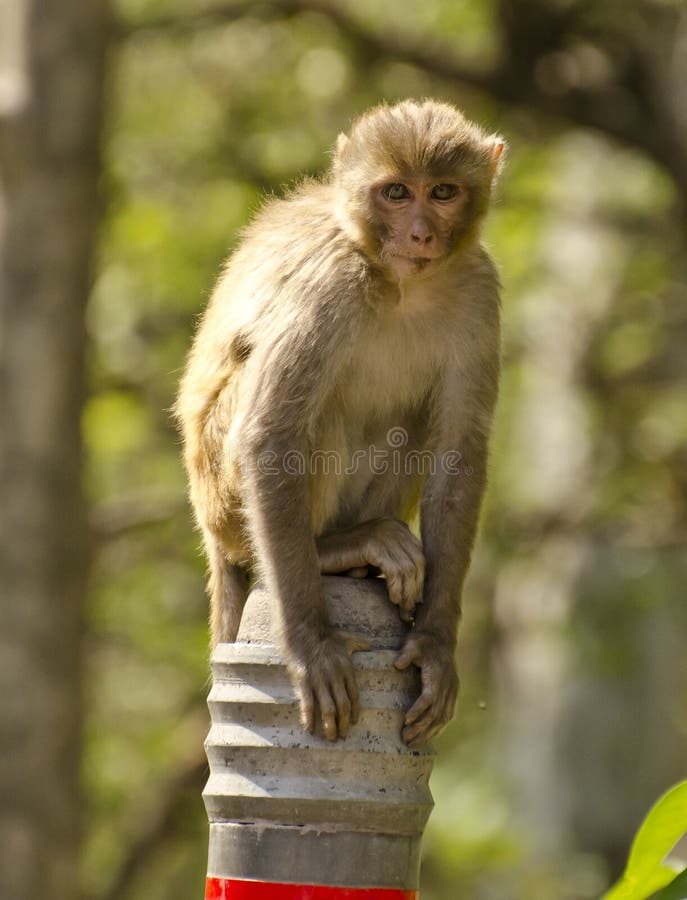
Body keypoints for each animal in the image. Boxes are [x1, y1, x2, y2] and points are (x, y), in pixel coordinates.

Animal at [175, 99, 505, 749]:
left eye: (443, 191)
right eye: (396, 192)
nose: (420, 233)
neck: (402, 282)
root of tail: (209, 531)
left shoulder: (480, 291)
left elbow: (458, 451)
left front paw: (435, 645)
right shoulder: (329, 281)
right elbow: (272, 436)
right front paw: (310, 645)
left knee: (413, 420)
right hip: (222, 493)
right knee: (309, 415)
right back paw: (335, 548)